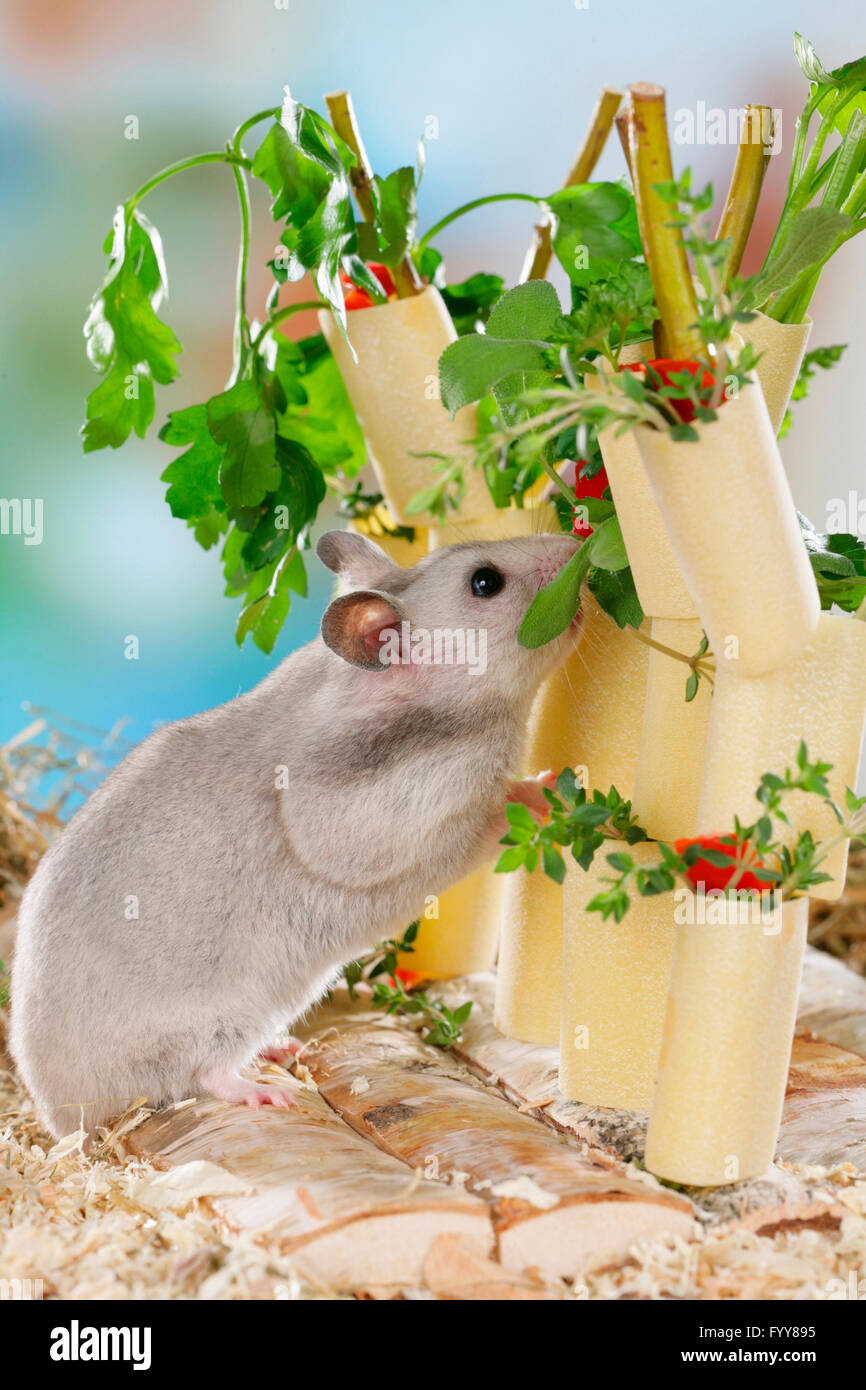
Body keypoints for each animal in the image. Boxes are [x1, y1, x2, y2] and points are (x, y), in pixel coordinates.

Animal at [10, 527, 579, 1136]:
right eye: (485, 582)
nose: (577, 544)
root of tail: (61, 1117)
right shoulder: (378, 816)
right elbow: (490, 812)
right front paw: (548, 795)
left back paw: (284, 1051)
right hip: (217, 1018)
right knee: (204, 1072)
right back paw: (265, 1091)